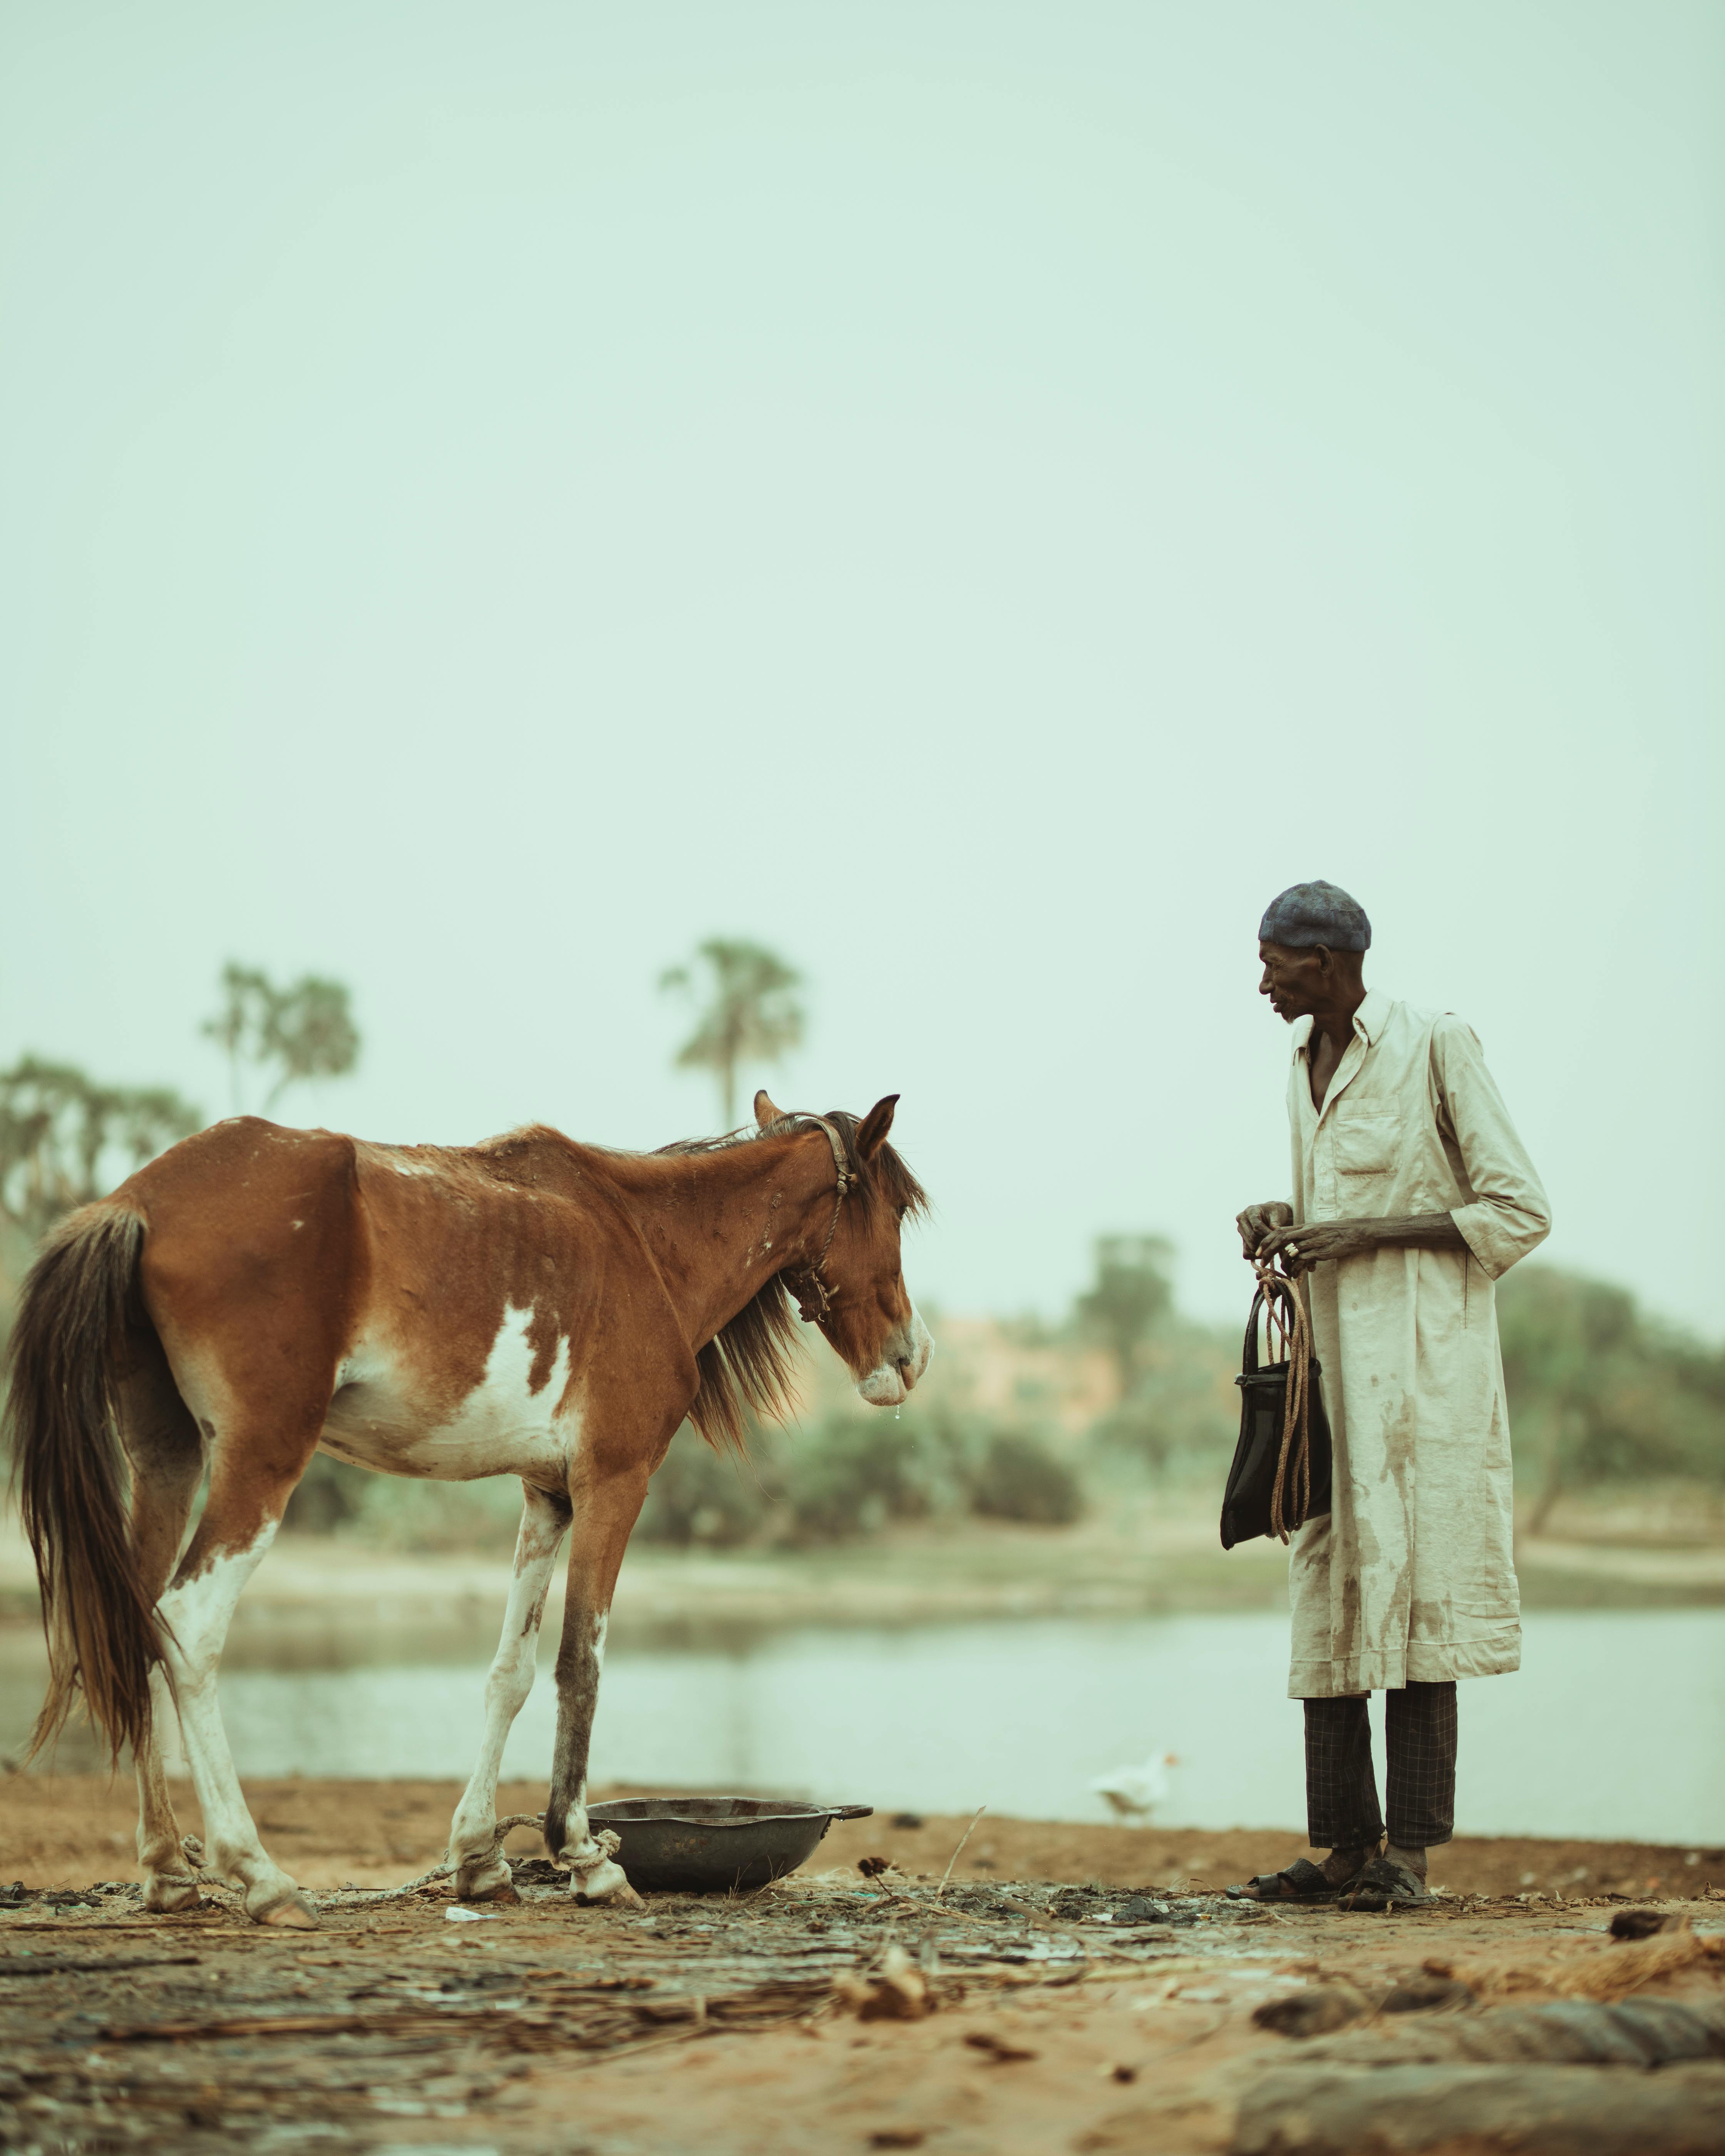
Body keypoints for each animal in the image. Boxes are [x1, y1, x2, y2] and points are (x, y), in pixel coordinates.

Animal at [7, 1089, 931, 1928]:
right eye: (894, 1210)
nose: (911, 1356)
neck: (643, 1240)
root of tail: (141, 1199)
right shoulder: (614, 1482)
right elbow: (581, 1663)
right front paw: (584, 1855)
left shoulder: (548, 1494)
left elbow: (509, 1674)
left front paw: (481, 1858)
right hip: (258, 1462)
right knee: (188, 1629)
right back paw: (258, 1874)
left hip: (164, 1460)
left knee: (131, 1631)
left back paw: (169, 1870)